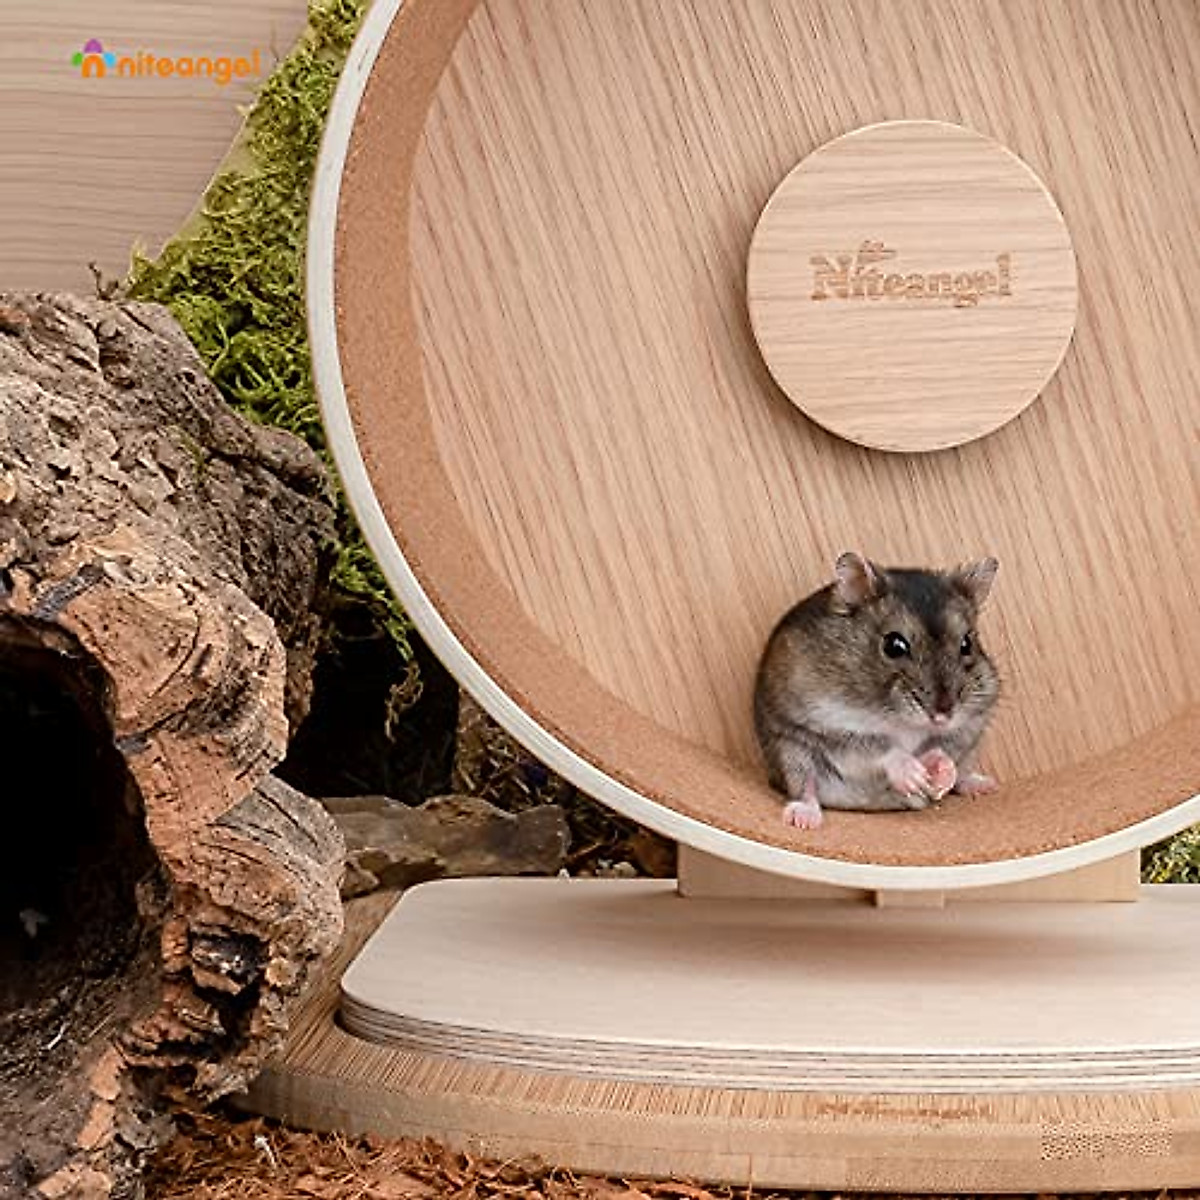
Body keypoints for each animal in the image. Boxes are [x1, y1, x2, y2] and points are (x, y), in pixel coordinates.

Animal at [753, 552, 1000, 830]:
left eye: (967, 643)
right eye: (893, 645)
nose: (943, 715)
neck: (902, 721)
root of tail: (867, 801)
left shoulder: (969, 726)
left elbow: (945, 750)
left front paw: (942, 771)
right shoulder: (831, 727)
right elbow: (881, 748)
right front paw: (915, 776)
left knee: (963, 773)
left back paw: (983, 785)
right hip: (792, 753)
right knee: (806, 788)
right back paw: (804, 819)